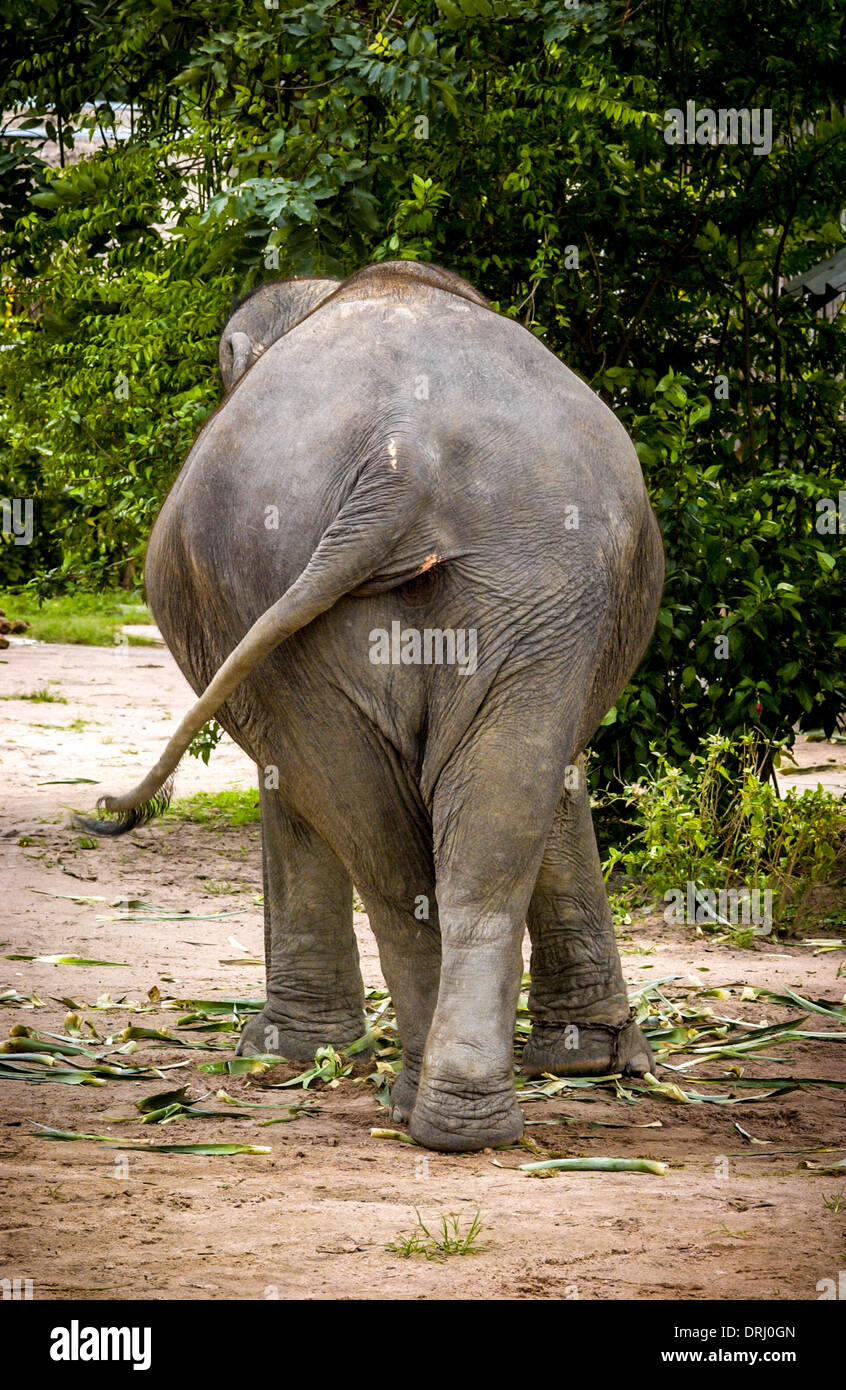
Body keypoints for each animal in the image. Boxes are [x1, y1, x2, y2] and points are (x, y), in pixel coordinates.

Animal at [82, 259, 665, 1152]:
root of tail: (402, 461)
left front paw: (280, 1053)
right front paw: (592, 1060)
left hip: (311, 583)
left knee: (372, 825)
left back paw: (423, 1103)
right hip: (537, 577)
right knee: (470, 831)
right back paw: (463, 1118)